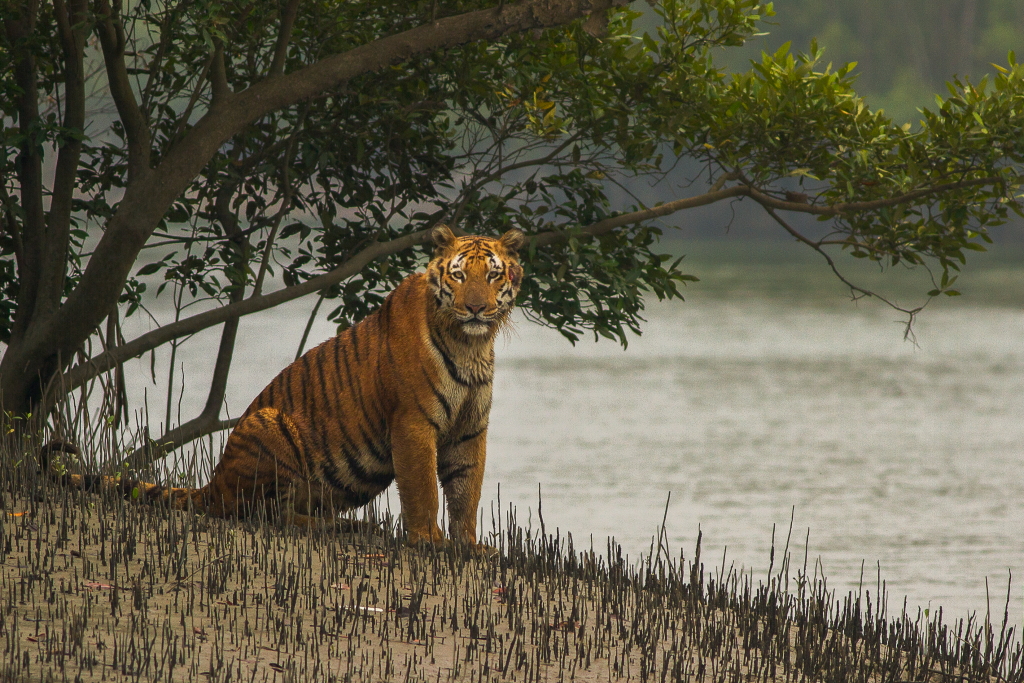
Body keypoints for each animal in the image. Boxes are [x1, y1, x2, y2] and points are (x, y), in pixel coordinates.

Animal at [42, 225, 525, 546]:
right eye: (460, 275)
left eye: (493, 275)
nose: (476, 309)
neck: (469, 343)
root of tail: (214, 483)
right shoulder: (413, 422)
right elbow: (423, 488)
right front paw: (429, 542)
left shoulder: (470, 429)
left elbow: (466, 490)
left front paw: (469, 546)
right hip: (270, 427)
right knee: (265, 516)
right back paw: (346, 528)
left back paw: (353, 526)